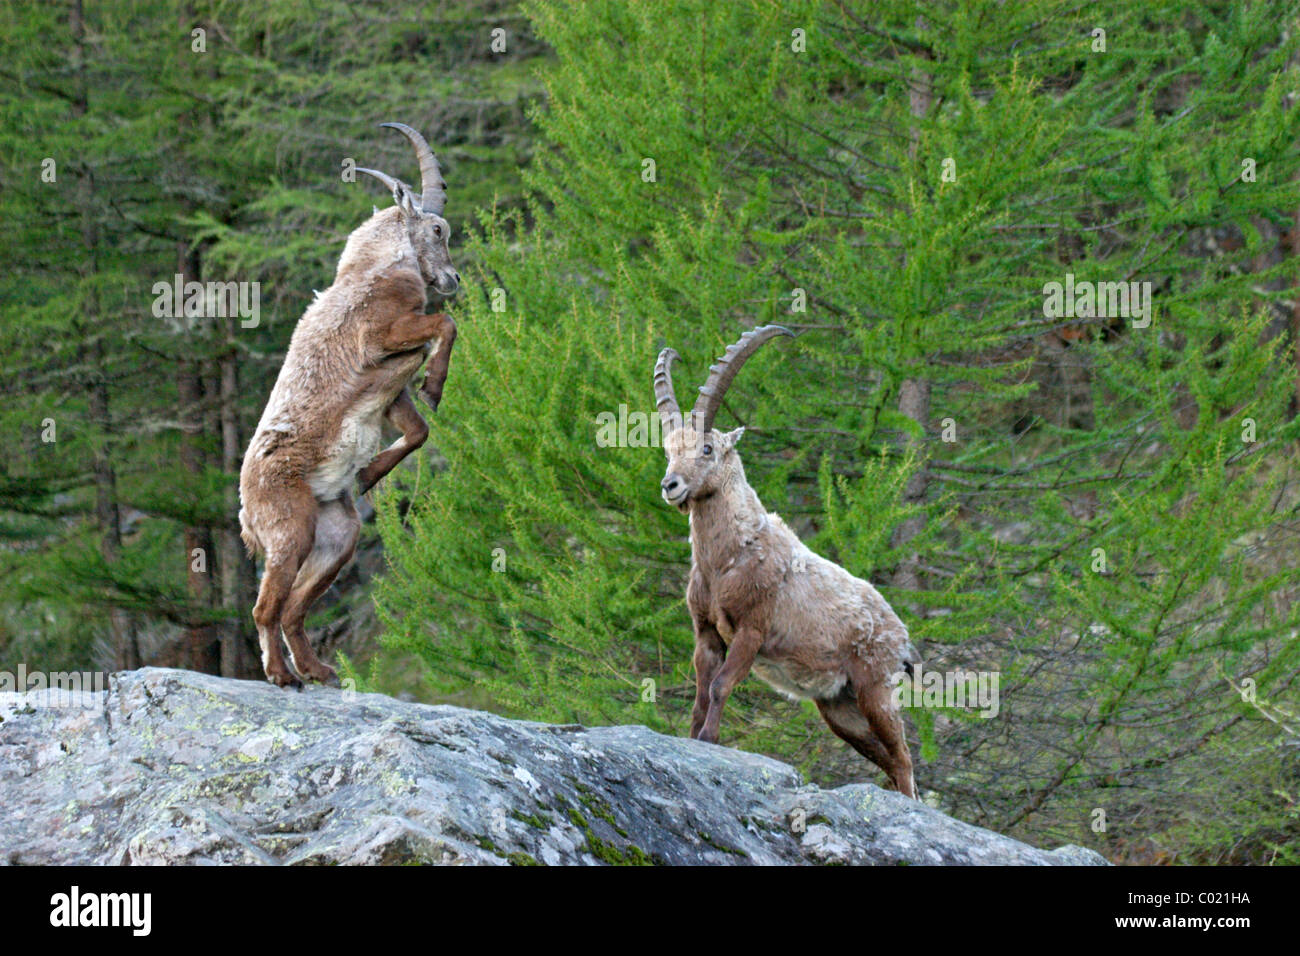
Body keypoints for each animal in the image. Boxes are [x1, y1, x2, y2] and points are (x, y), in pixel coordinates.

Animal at [238, 123, 459, 688]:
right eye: (438, 230)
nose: (453, 281)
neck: (373, 266)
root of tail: (247, 509)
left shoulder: (389, 387)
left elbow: (417, 429)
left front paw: (369, 472)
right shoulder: (381, 335)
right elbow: (445, 326)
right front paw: (435, 385)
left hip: (338, 535)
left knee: (295, 607)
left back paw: (317, 670)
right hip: (290, 530)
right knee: (266, 608)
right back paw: (281, 675)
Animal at [654, 326, 921, 797]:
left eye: (707, 448)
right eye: (669, 449)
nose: (672, 485)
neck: (726, 559)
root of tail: (902, 636)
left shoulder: (752, 630)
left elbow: (721, 687)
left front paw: (711, 742)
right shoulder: (707, 633)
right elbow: (701, 695)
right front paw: (693, 742)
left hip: (876, 689)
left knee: (904, 759)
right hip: (839, 708)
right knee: (887, 758)